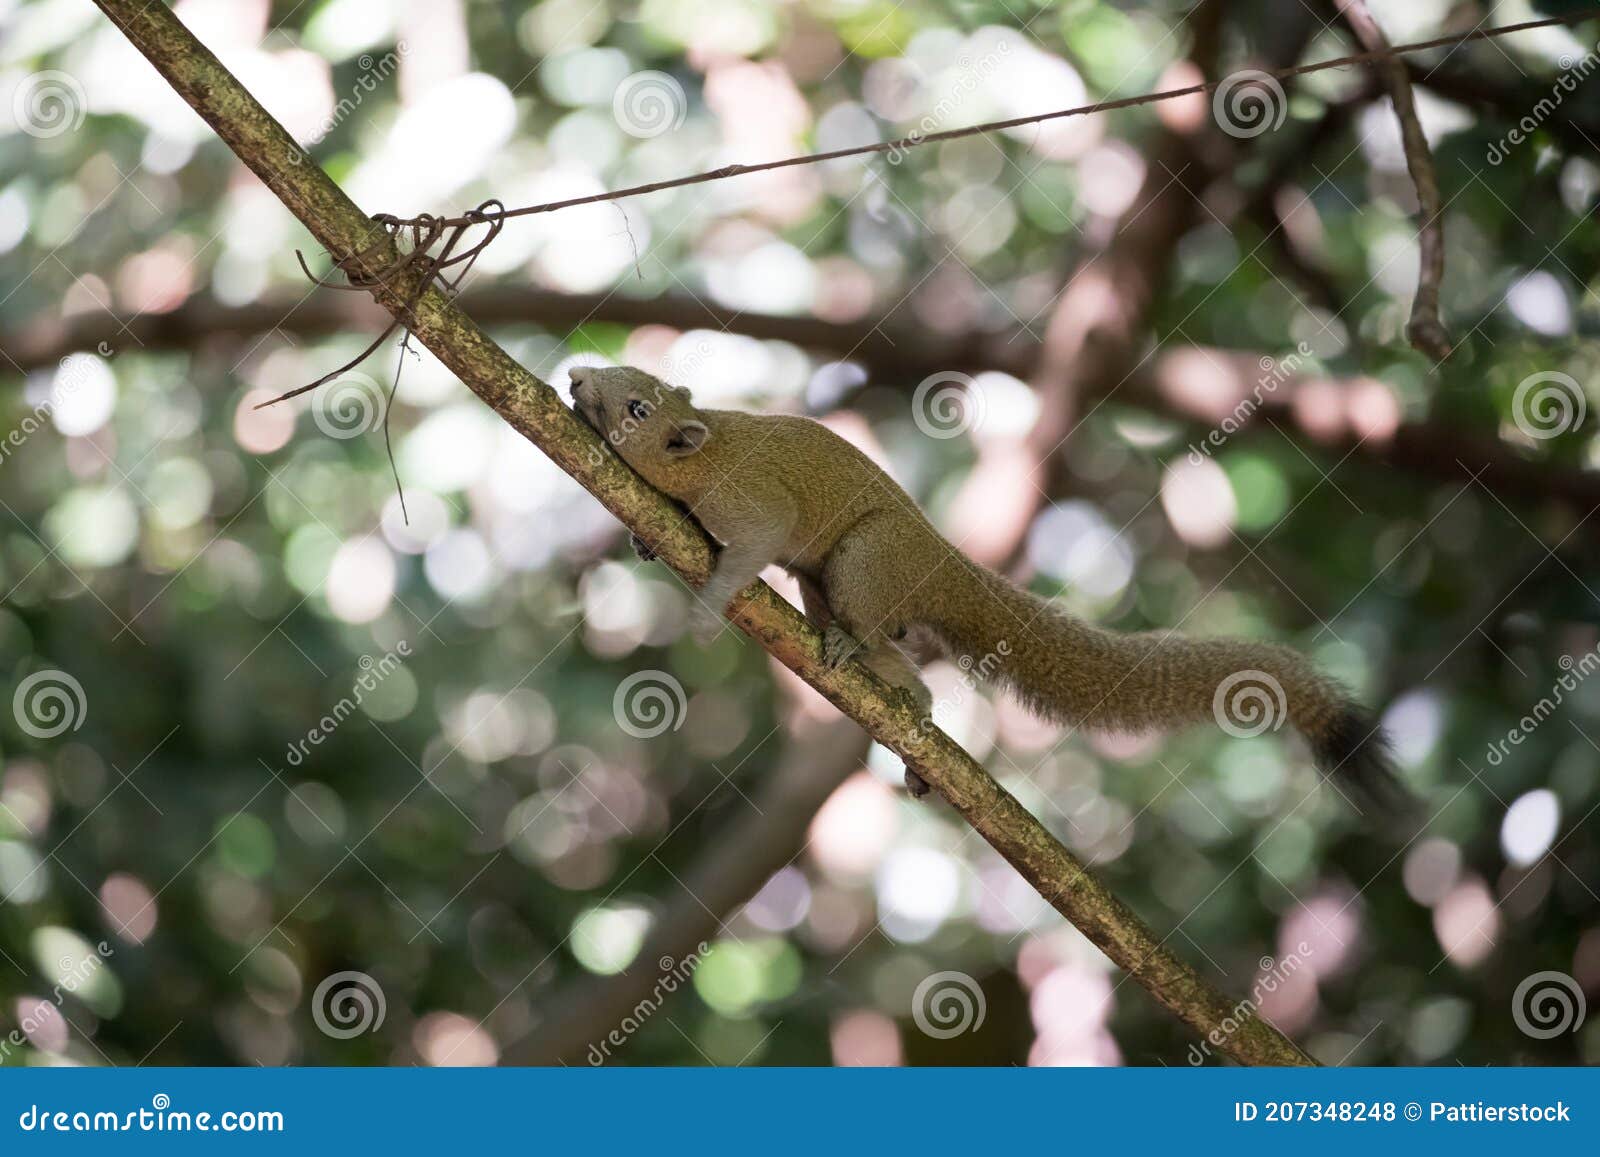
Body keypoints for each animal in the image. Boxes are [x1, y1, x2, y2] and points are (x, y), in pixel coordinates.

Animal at [569, 365, 1406, 813]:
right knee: (892, 661)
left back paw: (869, 665)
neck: (703, 444)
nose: (577, 376)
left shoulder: (750, 501)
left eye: (638, 406)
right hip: (829, 584)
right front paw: (647, 538)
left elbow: (754, 542)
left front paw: (710, 602)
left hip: (864, 562)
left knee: (867, 630)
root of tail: (941, 559)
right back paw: (904, 700)